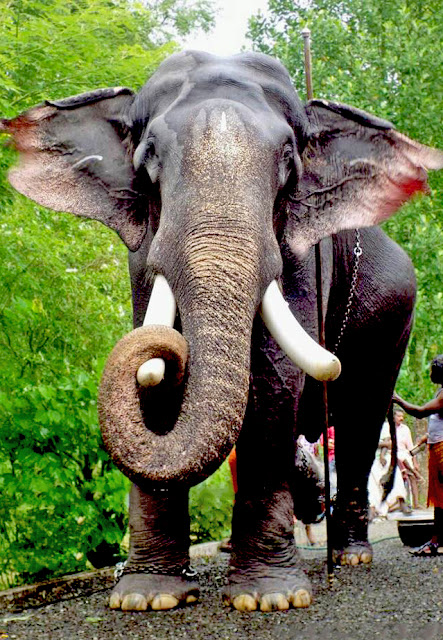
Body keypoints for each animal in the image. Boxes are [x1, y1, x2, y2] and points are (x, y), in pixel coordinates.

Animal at [2, 50, 443, 613]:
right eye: (148, 158)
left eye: (288, 160)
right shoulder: (143, 249)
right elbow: (153, 374)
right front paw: (145, 598)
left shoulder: (297, 253)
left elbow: (275, 378)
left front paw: (270, 599)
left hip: (395, 312)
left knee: (360, 413)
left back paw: (350, 558)